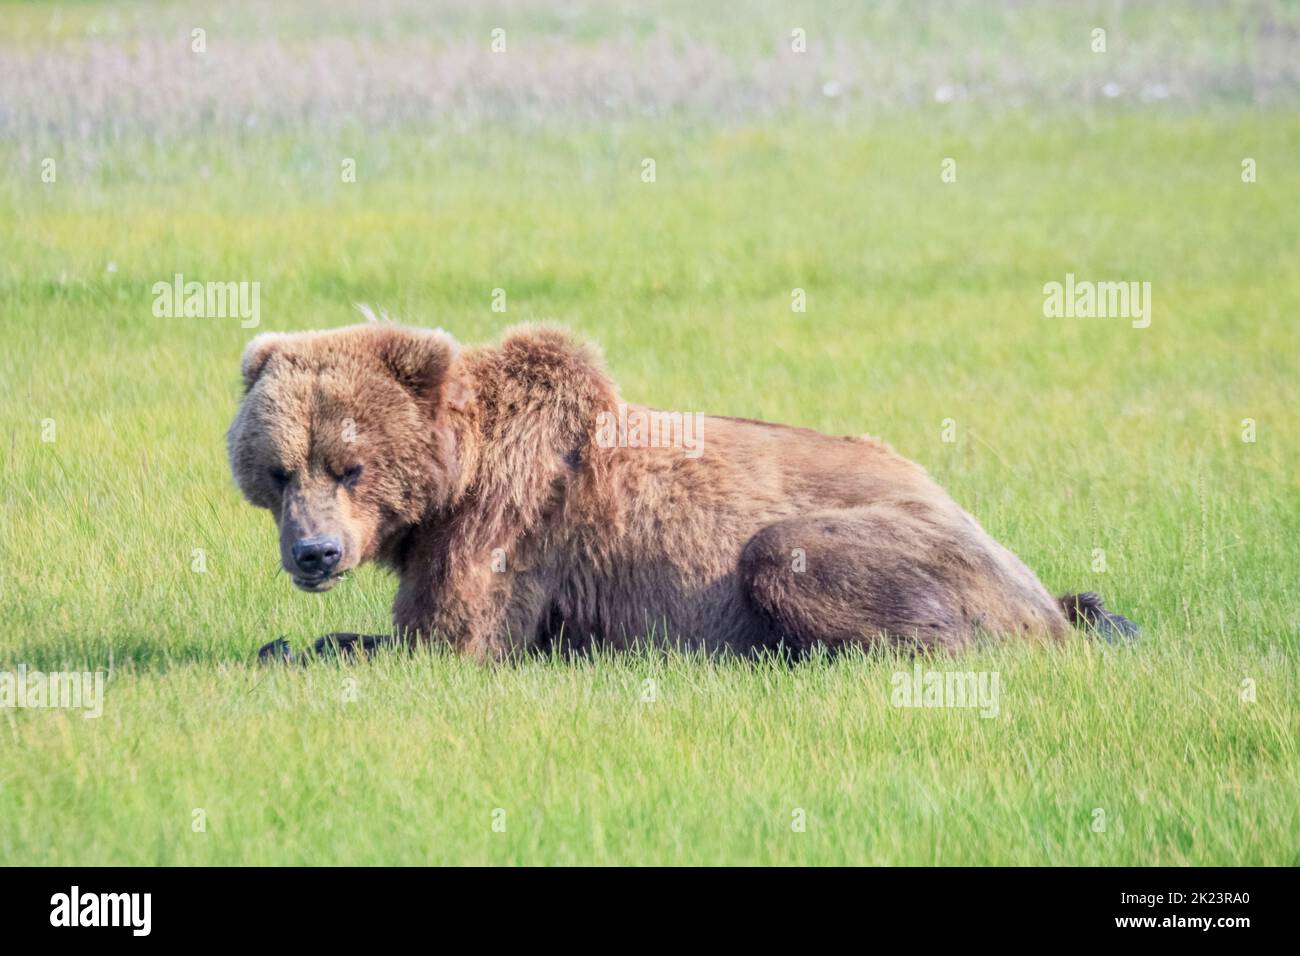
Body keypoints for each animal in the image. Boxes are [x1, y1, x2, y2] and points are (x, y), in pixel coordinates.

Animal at [226, 322, 1137, 662]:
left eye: (352, 465)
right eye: (279, 469)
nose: (315, 553)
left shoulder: (507, 527)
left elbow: (452, 640)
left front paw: (302, 647)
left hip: (910, 543)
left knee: (791, 557)